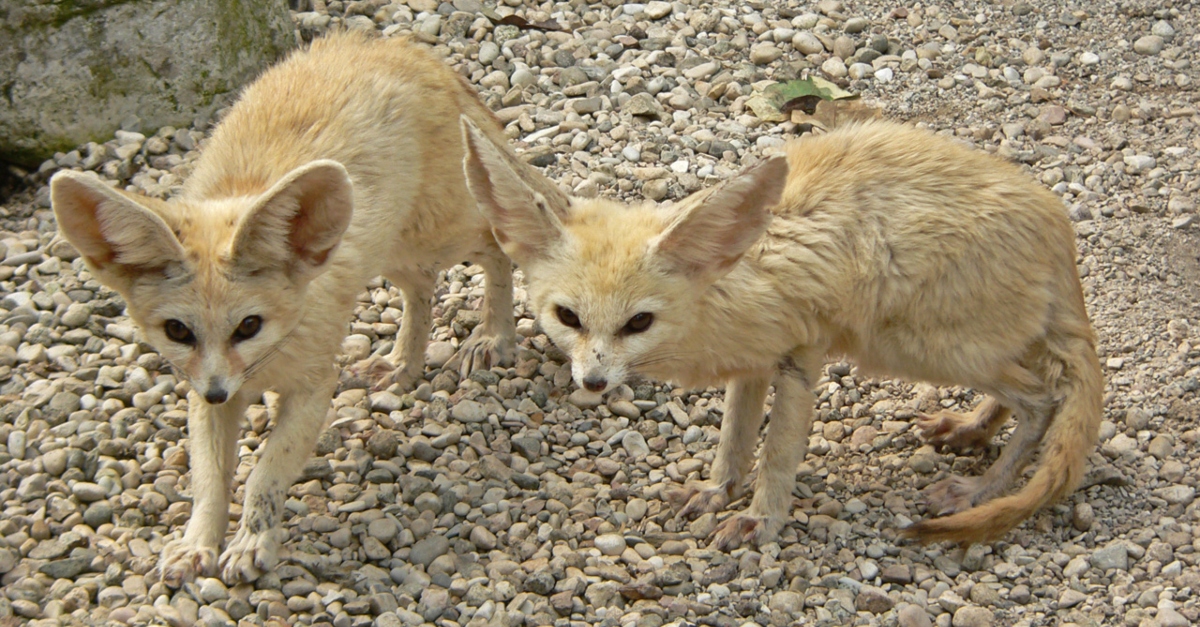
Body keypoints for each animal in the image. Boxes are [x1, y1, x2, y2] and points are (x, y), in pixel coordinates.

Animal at [49, 32, 522, 586]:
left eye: (249, 325)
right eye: (178, 331)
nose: (218, 392)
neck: (265, 365)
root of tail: (393, 45)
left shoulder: (313, 387)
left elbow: (265, 472)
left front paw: (252, 542)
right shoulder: (205, 395)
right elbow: (209, 481)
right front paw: (197, 544)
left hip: (436, 236)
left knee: (496, 244)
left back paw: (493, 335)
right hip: (391, 251)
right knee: (421, 291)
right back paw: (403, 363)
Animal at [460, 116, 1104, 547]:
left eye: (638, 322)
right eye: (568, 317)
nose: (593, 383)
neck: (728, 281)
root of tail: (1059, 233)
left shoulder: (801, 353)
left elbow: (778, 452)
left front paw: (760, 521)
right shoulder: (750, 363)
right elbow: (734, 438)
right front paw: (716, 492)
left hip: (925, 348)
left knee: (1044, 399)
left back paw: (978, 490)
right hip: (963, 348)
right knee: (1026, 387)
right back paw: (970, 429)